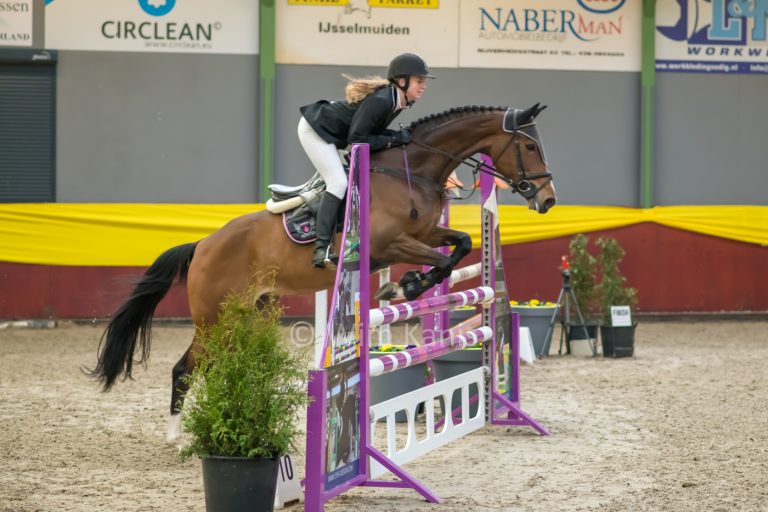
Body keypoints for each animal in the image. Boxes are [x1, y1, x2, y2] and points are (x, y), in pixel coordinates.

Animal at [86, 103, 557, 443]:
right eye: (531, 147)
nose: (548, 200)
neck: (413, 169)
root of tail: (202, 244)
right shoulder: (388, 244)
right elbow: (441, 259)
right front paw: (402, 286)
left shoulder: (426, 232)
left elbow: (460, 244)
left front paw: (404, 285)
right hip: (213, 319)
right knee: (184, 369)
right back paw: (177, 437)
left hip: (251, 312)